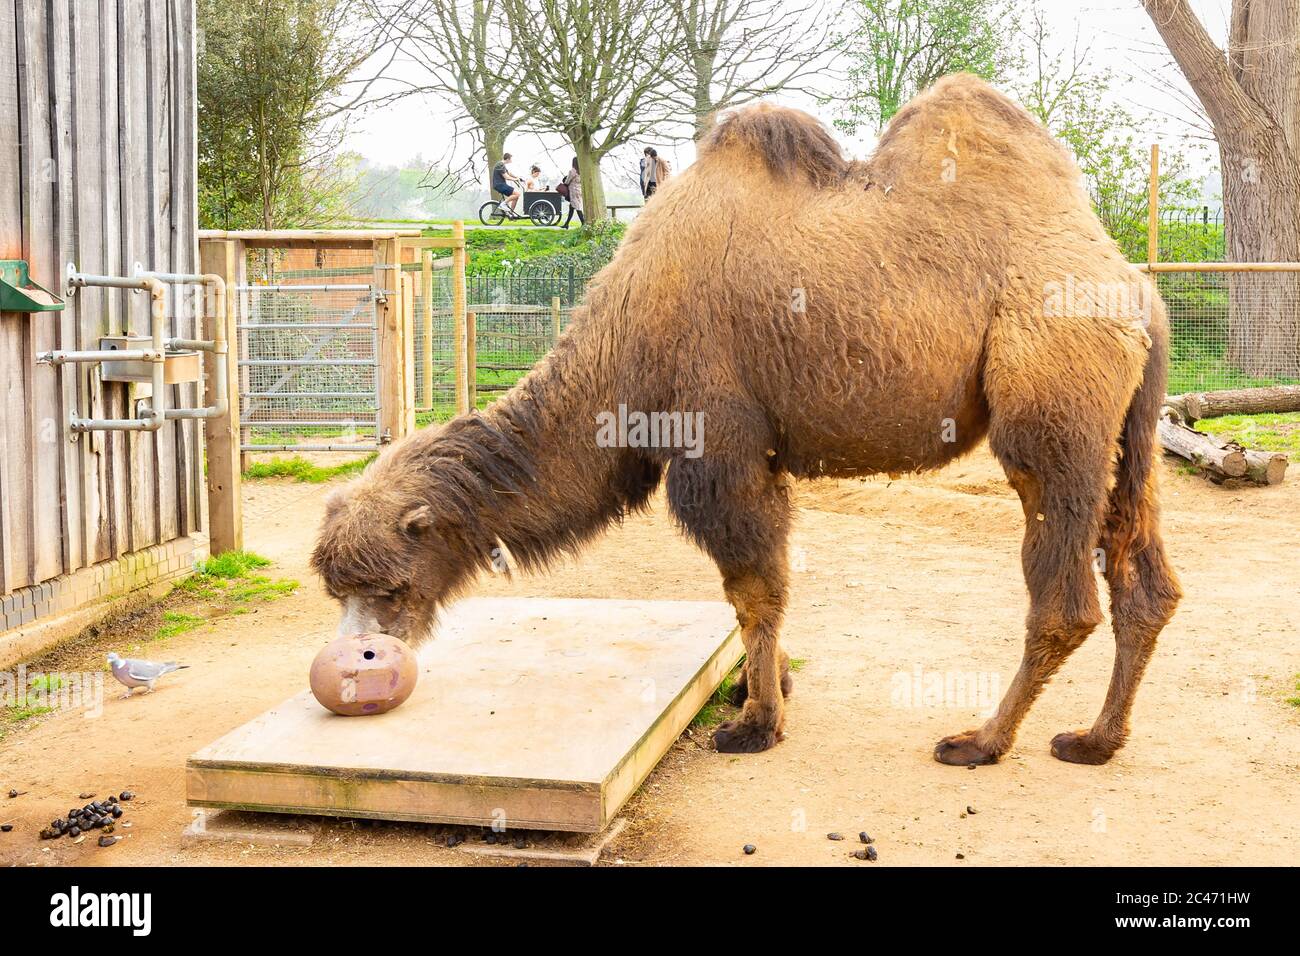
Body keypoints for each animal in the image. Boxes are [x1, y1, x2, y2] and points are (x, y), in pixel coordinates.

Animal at [313, 74, 1181, 764]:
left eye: (390, 585)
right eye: (335, 587)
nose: (355, 661)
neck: (625, 340)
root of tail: (1136, 289)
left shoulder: (717, 444)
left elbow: (752, 587)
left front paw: (756, 724)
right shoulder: (757, 454)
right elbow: (765, 580)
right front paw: (771, 688)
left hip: (1052, 398)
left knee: (1064, 592)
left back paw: (981, 740)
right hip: (1132, 426)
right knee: (1146, 579)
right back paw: (1096, 739)